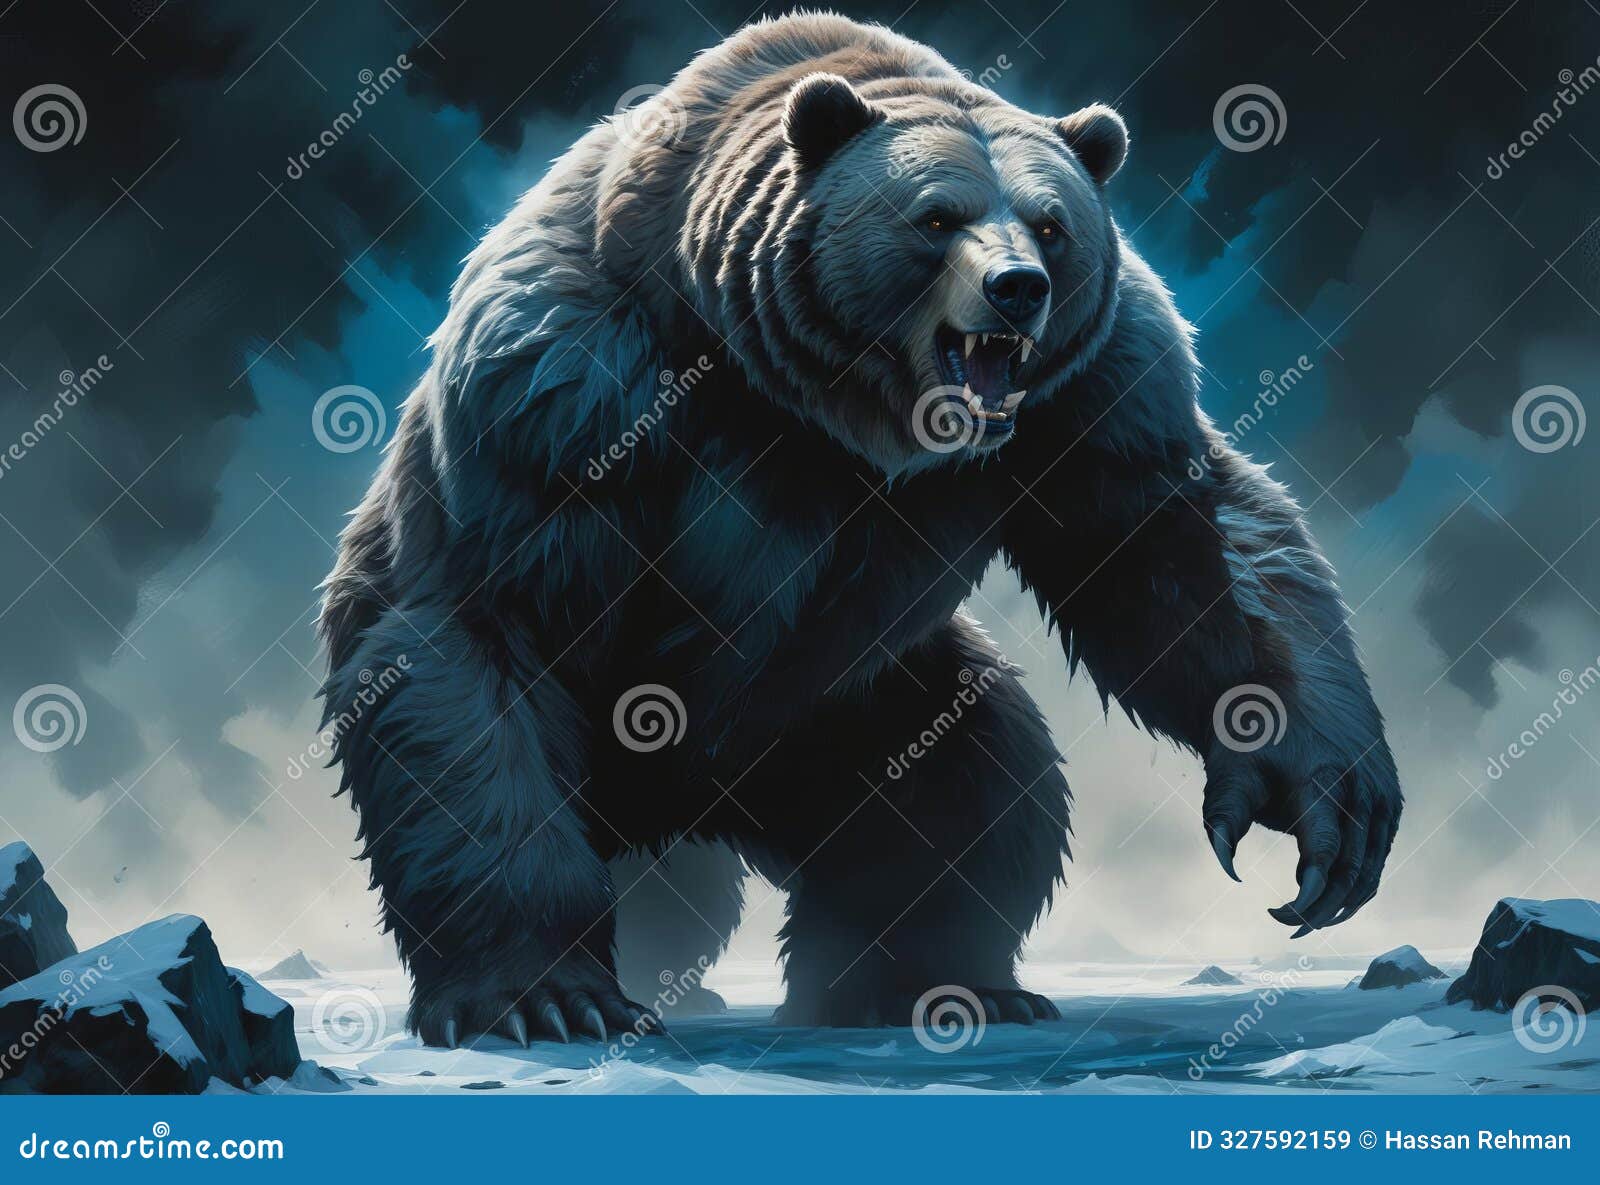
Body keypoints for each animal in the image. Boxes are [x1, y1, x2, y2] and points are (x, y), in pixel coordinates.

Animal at [318, 11, 1403, 1047]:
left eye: (1051, 223)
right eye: (938, 215)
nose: (1017, 288)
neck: (820, 402)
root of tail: (687, 810)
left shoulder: (1094, 388)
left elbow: (1171, 548)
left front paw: (1328, 812)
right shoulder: (566, 390)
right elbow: (490, 634)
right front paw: (543, 997)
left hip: (843, 715)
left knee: (973, 787)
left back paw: (929, 984)